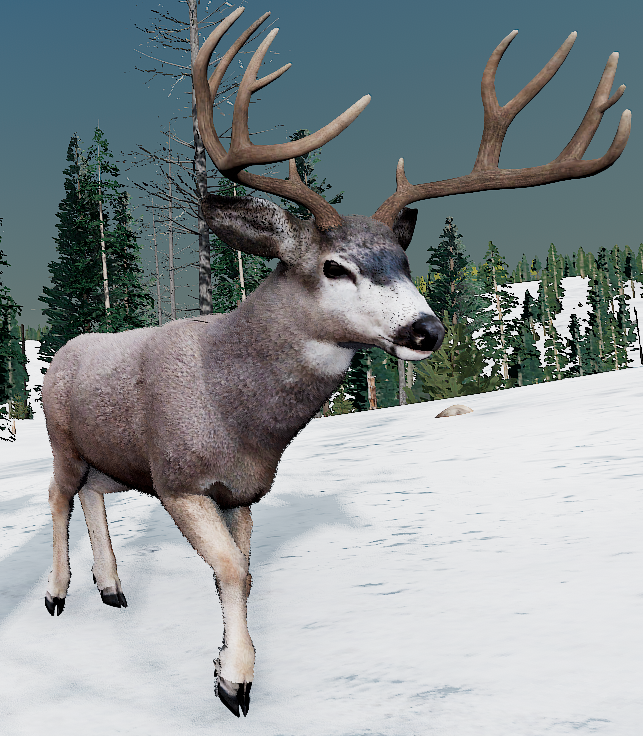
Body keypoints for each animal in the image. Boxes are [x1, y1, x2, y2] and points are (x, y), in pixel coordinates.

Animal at [42, 6, 629, 719]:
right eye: (333, 266)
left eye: (403, 261)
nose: (426, 330)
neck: (233, 404)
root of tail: (62, 354)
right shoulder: (179, 475)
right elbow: (230, 569)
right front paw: (234, 683)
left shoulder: (241, 490)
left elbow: (243, 572)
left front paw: (226, 663)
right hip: (63, 439)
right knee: (57, 496)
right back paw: (58, 594)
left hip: (112, 458)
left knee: (92, 495)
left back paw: (112, 588)